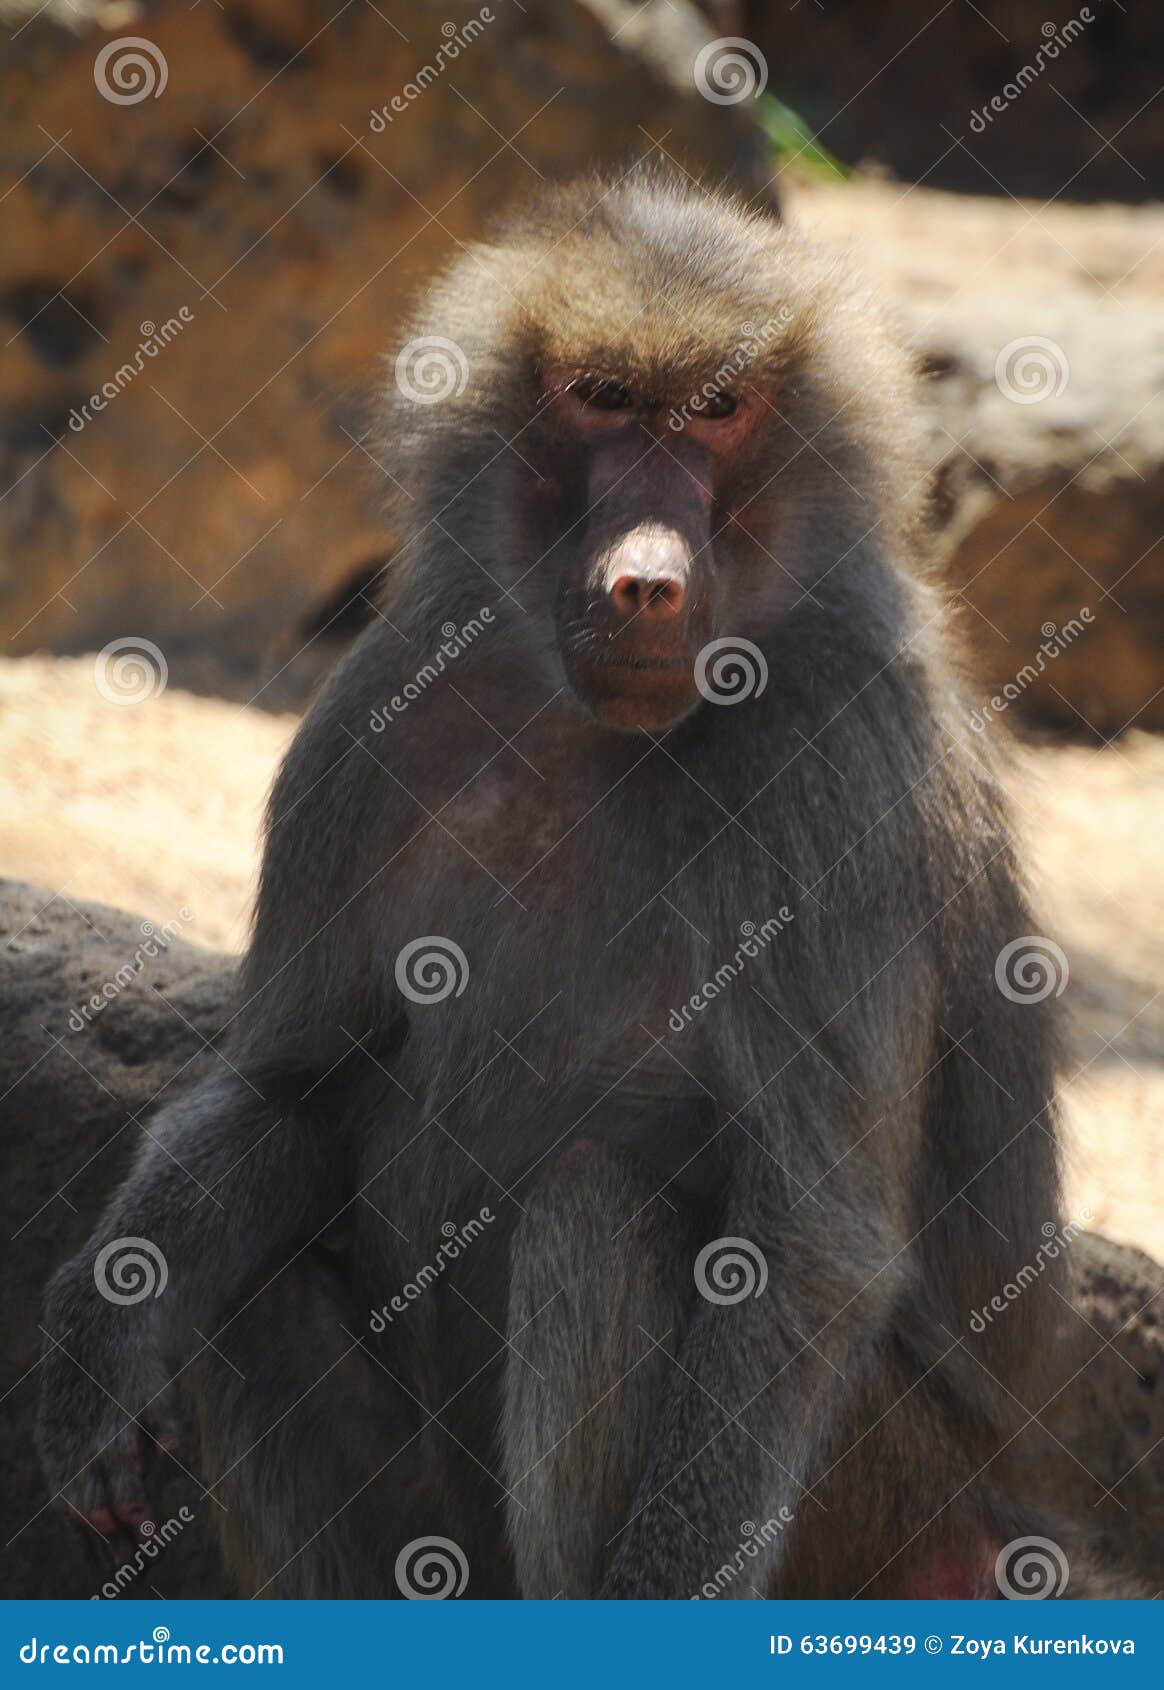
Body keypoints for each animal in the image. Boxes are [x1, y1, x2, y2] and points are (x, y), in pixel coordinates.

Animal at [38, 166, 1091, 1601]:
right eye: (601, 397)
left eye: (717, 410)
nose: (645, 578)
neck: (605, 729)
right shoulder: (369, 721)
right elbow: (290, 1088)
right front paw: (107, 1322)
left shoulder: (838, 757)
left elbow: (808, 1239)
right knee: (251, 1297)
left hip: (882, 1512)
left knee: (598, 1211)